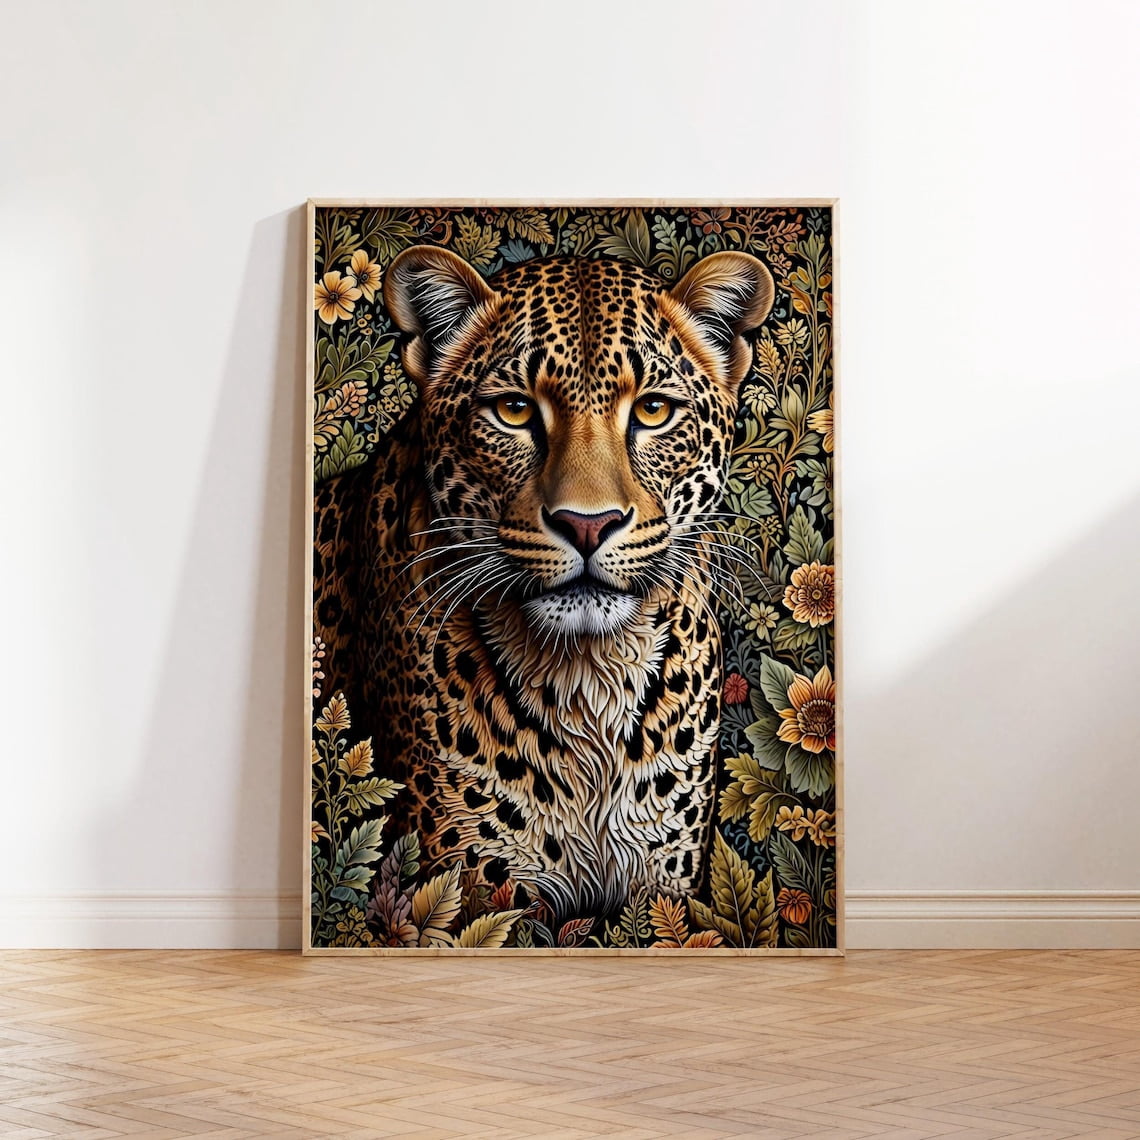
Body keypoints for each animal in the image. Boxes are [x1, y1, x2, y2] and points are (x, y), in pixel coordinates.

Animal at [313, 243, 775, 924]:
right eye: (514, 411)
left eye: (653, 411)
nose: (588, 524)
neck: (590, 680)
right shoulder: (471, 894)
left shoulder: (660, 895)